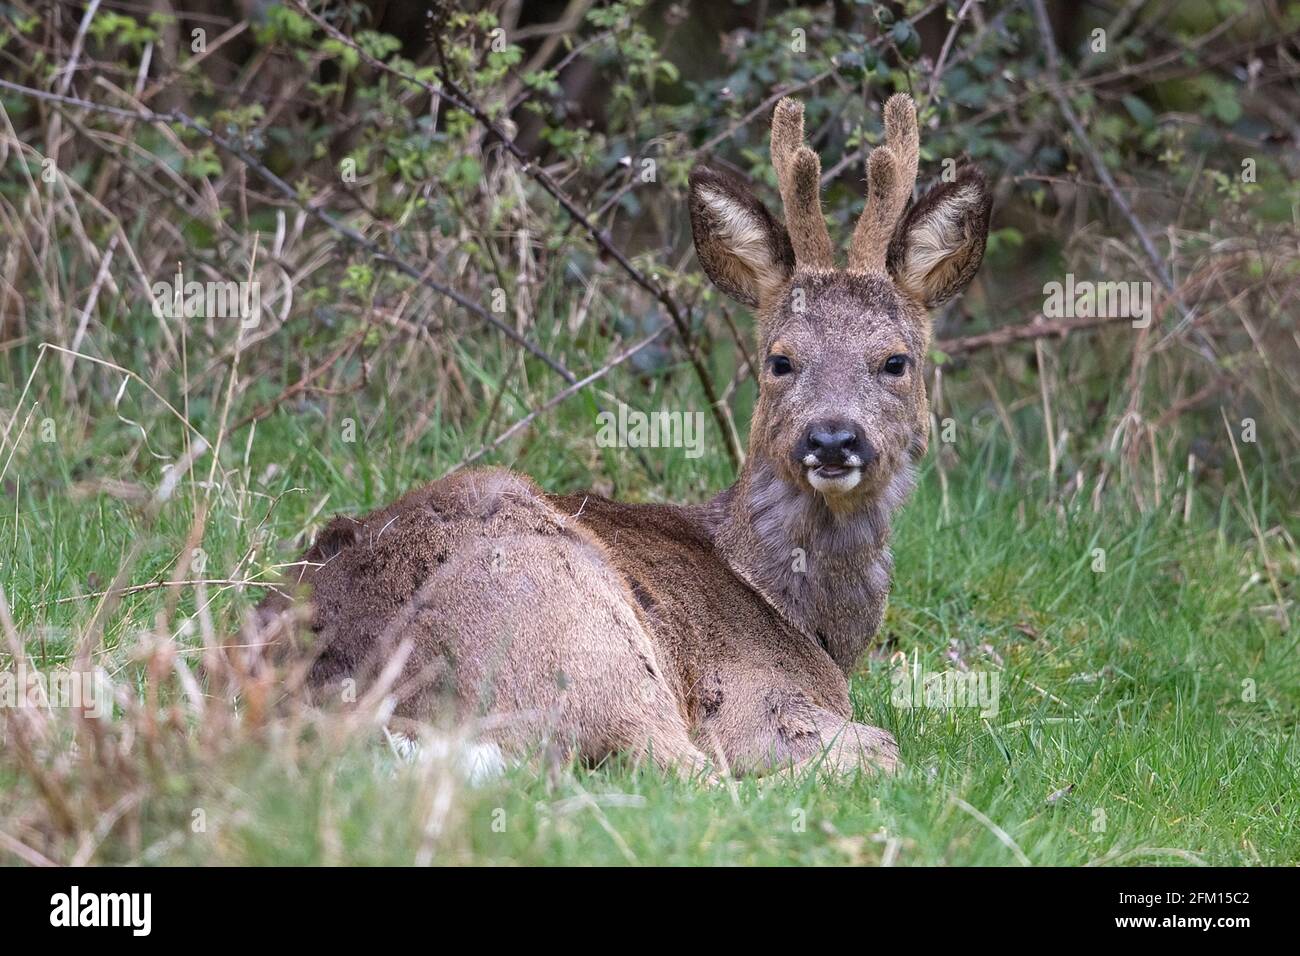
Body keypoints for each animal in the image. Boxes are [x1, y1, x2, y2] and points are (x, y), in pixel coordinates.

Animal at [257, 94, 992, 779]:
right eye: (780, 360)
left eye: (896, 361)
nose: (834, 439)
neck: (799, 613)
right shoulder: (755, 699)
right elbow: (881, 747)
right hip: (575, 631)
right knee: (677, 766)